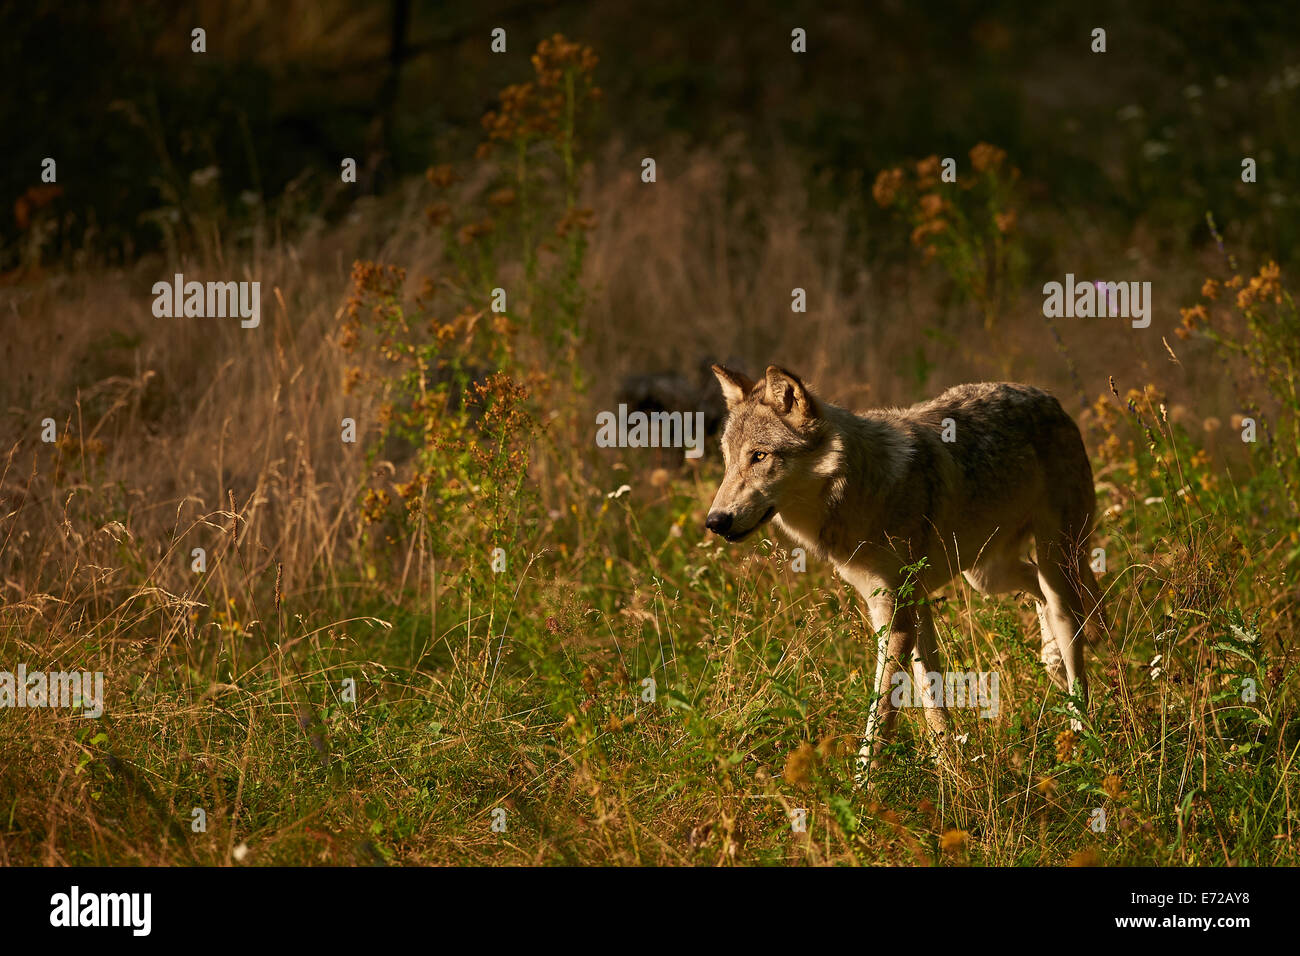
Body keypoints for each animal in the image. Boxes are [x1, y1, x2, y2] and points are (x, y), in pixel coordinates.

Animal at [704, 365, 1105, 780]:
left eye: (759, 456)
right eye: (728, 460)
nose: (715, 522)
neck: (859, 490)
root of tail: (1045, 396)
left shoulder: (896, 615)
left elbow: (882, 710)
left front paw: (863, 786)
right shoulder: (911, 604)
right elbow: (930, 693)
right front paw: (949, 764)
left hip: (1054, 560)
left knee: (1070, 626)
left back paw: (1081, 732)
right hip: (988, 575)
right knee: (1038, 589)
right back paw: (1051, 660)